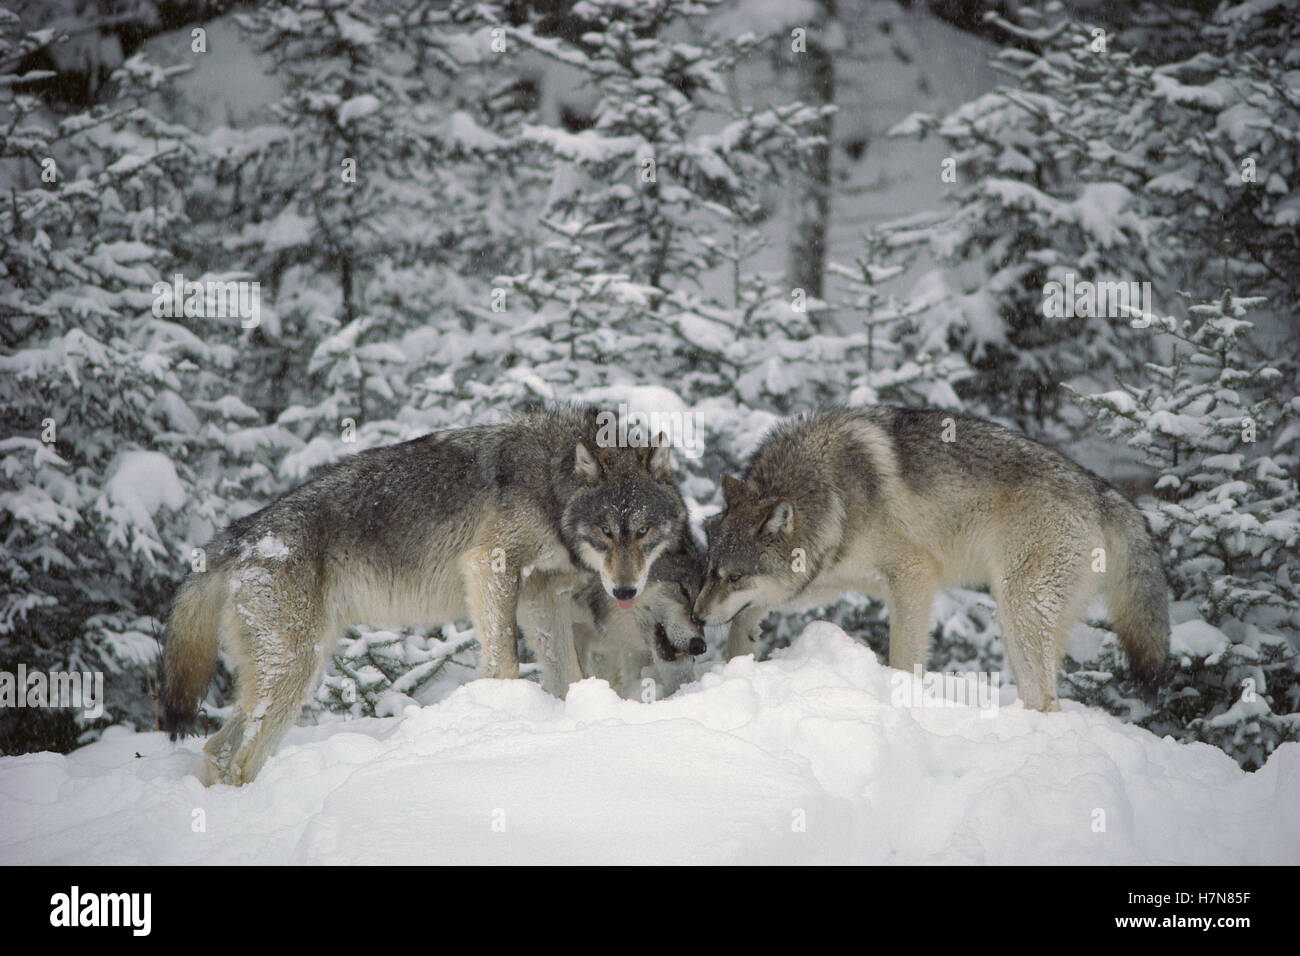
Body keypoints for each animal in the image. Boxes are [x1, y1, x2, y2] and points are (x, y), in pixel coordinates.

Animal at [519, 534, 706, 699]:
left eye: (700, 609)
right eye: (684, 591)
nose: (700, 646)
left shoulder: (590, 634)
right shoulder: (544, 599)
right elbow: (565, 669)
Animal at [693, 406, 1169, 712]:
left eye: (734, 577)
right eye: (710, 571)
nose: (695, 617)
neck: (831, 496)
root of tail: (1103, 491)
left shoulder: (913, 575)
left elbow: (904, 657)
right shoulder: (822, 576)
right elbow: (745, 618)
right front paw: (735, 661)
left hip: (1020, 610)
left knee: (1047, 698)